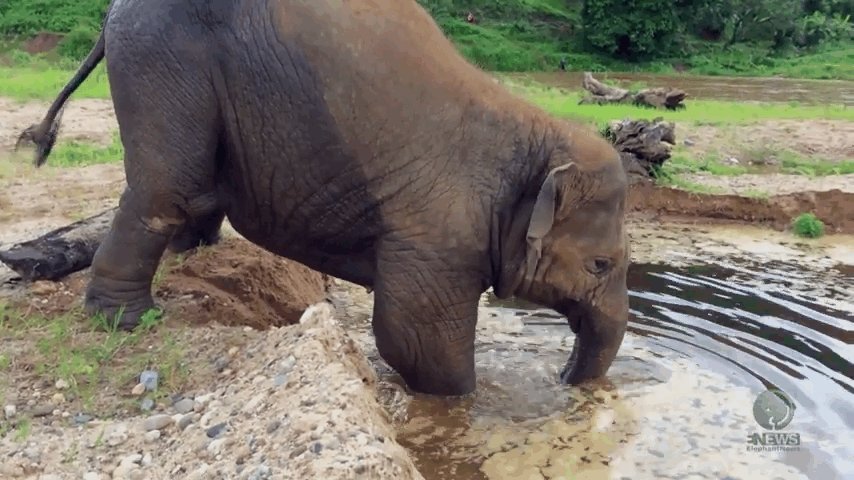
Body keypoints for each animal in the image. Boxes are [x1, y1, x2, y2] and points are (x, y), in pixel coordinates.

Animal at [16, 0, 630, 397]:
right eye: (600, 265)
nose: (563, 383)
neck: (539, 136)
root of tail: (115, 10)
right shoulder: (435, 232)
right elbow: (415, 336)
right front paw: (466, 402)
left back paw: (194, 257)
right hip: (164, 59)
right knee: (169, 186)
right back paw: (127, 321)